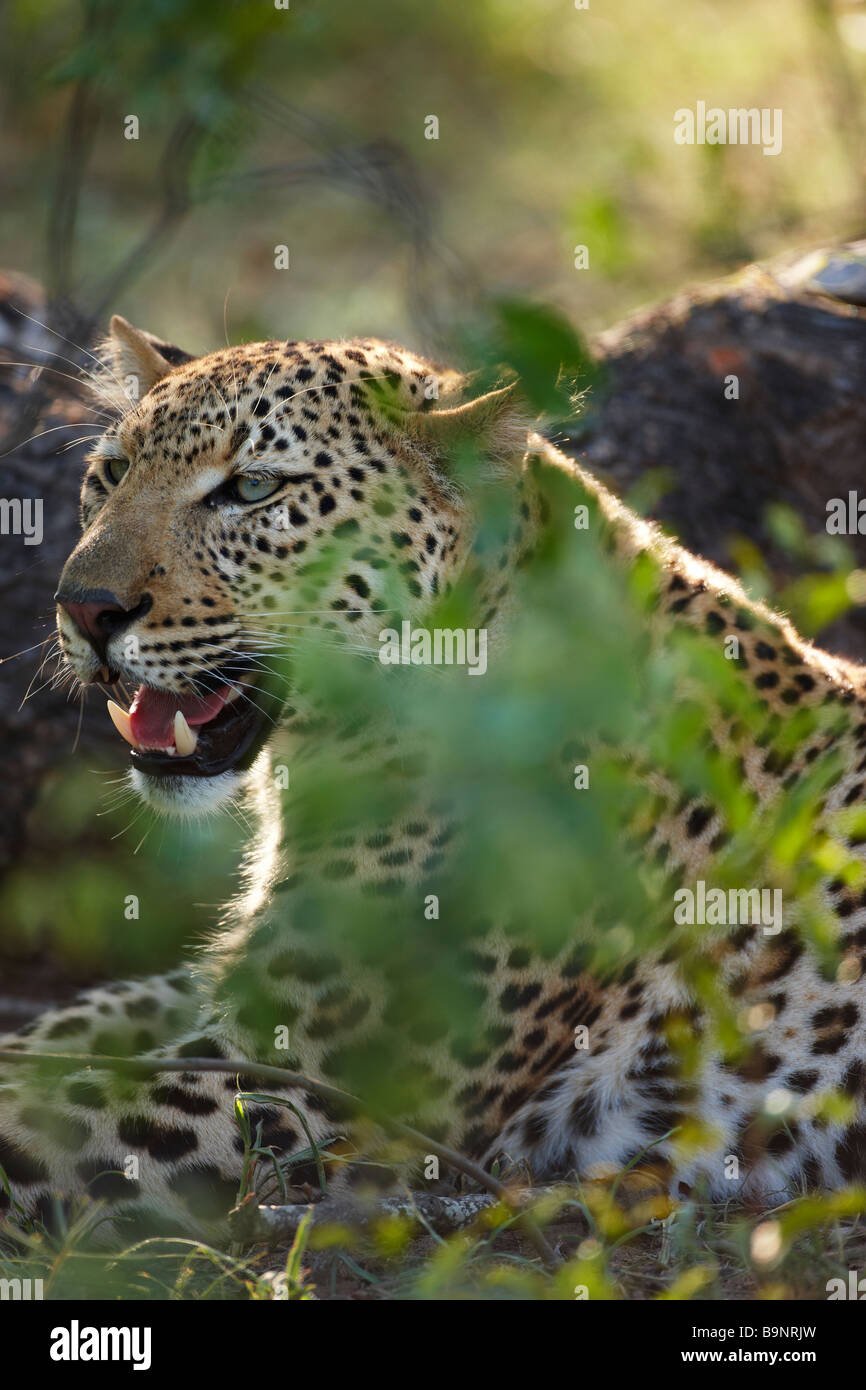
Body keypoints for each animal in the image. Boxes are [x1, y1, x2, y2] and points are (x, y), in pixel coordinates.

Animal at [3, 311, 866, 1245]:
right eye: (110, 474)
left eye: (252, 488)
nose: (83, 608)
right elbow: (80, 1021)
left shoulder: (291, 1080)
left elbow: (33, 1122)